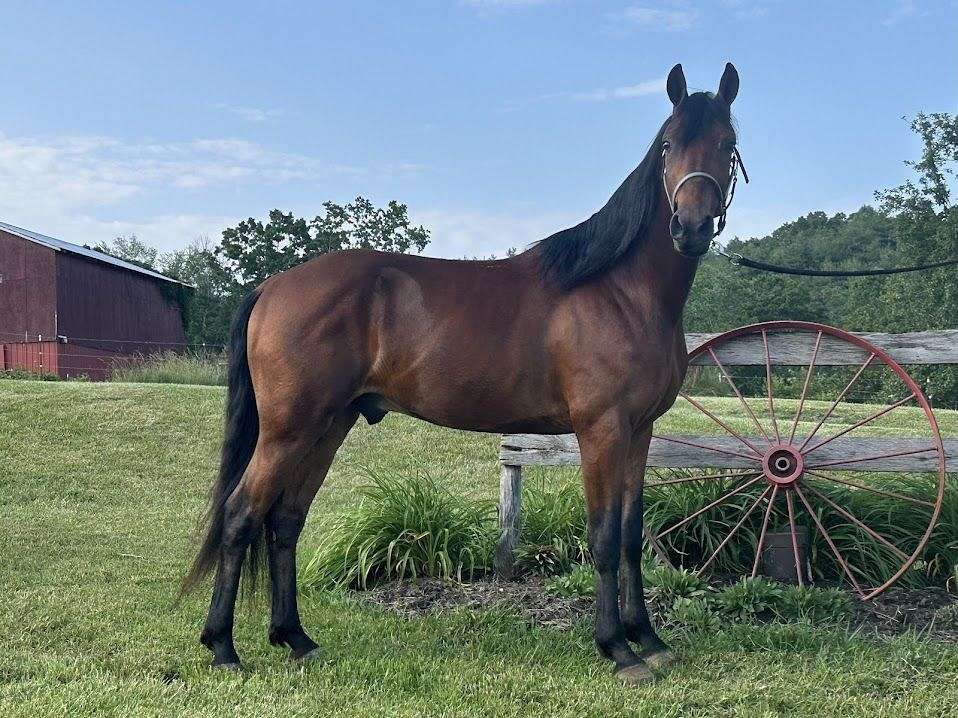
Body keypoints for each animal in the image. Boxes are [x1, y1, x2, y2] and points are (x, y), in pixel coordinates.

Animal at [182, 62, 744, 684]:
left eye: (727, 142)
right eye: (668, 144)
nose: (690, 227)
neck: (622, 292)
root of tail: (272, 286)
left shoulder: (639, 432)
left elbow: (628, 536)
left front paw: (648, 638)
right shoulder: (601, 430)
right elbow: (601, 537)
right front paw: (618, 649)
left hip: (328, 426)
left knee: (285, 521)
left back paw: (296, 638)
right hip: (288, 429)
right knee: (240, 515)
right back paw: (223, 646)